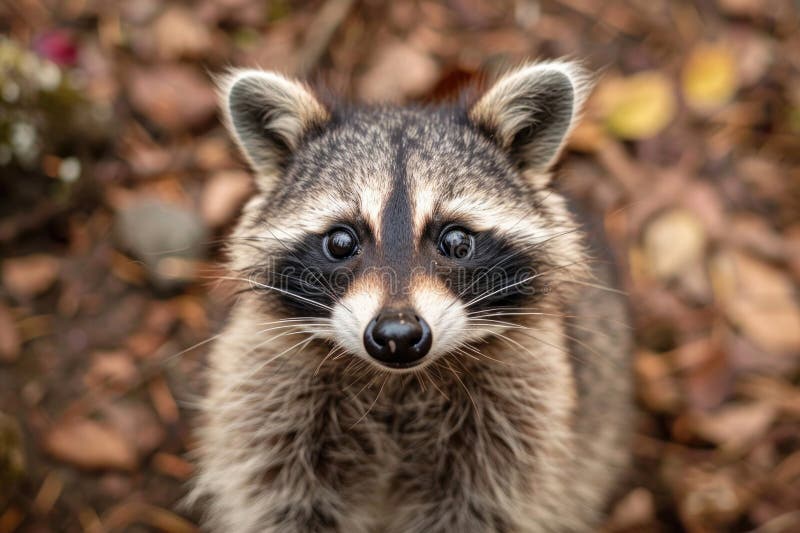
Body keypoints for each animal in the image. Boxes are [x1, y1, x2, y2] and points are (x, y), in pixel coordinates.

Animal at [190, 61, 633, 532]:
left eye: (456, 241)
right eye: (341, 242)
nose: (397, 335)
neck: (395, 385)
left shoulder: (518, 412)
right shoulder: (268, 397)